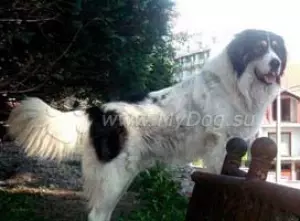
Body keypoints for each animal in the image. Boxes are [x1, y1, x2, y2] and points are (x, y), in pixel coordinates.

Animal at [7, 28, 288, 219]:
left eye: (276, 49)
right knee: (97, 214)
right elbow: (224, 177)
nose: (276, 63)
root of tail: (98, 110)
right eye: (260, 48)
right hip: (114, 175)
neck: (238, 86)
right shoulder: (220, 146)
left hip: (121, 176)